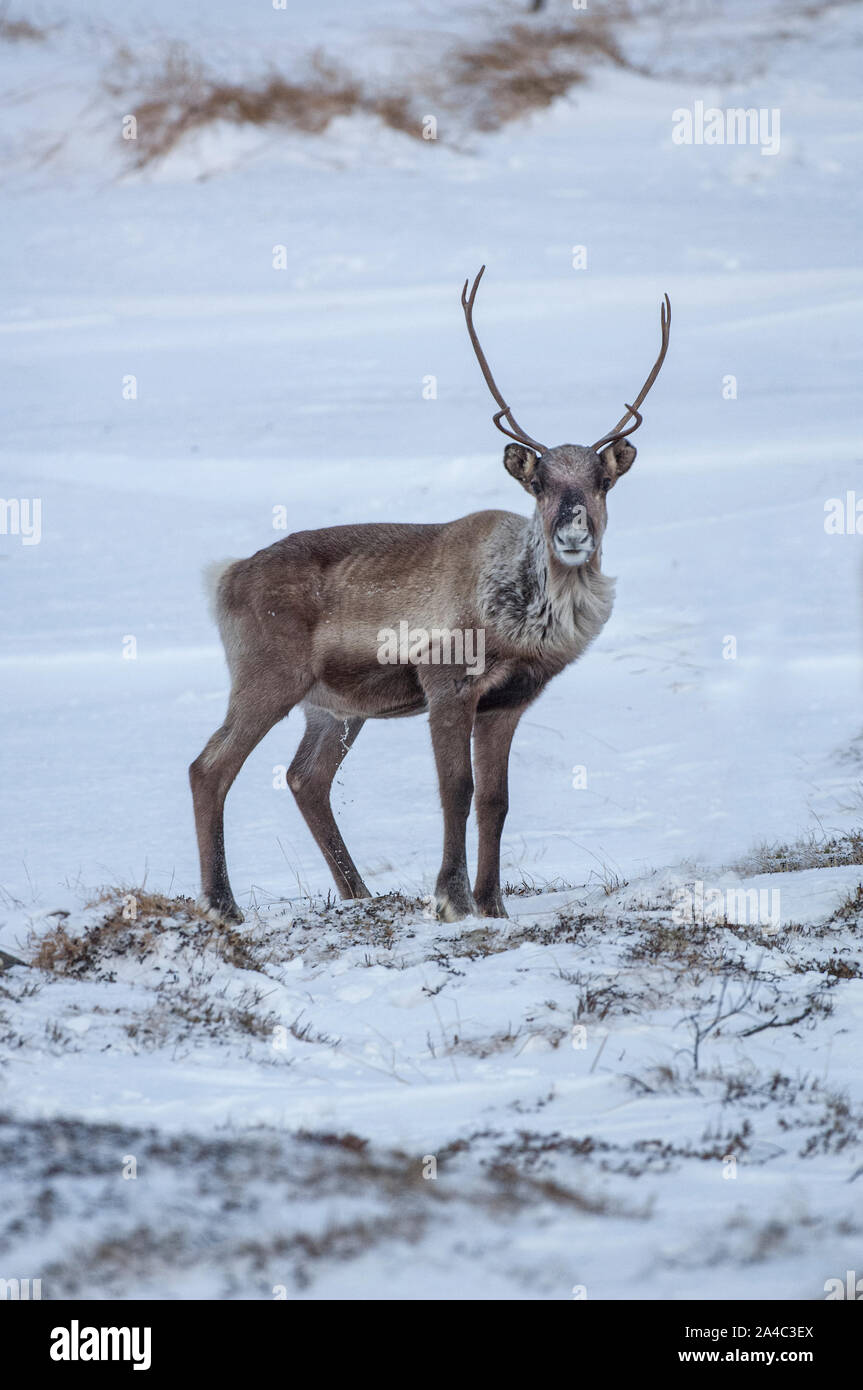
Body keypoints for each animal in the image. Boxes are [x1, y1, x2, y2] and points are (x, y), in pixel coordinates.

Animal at [190, 268, 670, 925]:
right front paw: (452, 898)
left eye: (603, 480)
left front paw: (493, 904)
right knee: (210, 768)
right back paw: (223, 905)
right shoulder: (447, 682)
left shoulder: (507, 701)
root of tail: (227, 577)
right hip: (268, 676)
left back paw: (358, 894)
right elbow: (456, 790)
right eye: (540, 482)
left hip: (334, 707)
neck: (516, 619)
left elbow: (495, 800)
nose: (573, 534)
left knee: (305, 778)